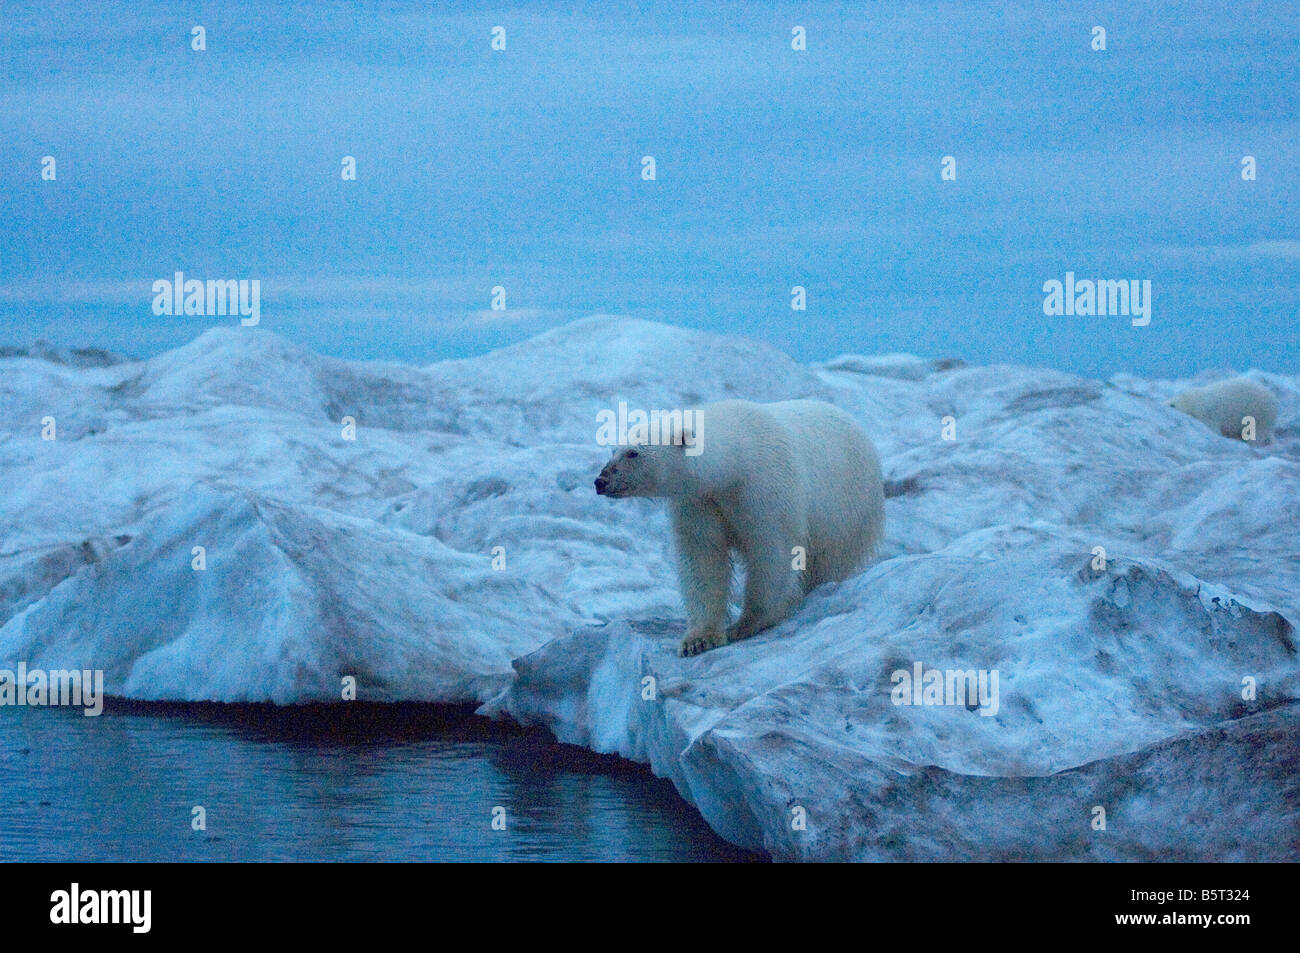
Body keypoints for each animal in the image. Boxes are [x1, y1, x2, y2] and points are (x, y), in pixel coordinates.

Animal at [594, 399, 884, 656]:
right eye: (613, 450)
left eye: (633, 453)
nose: (600, 481)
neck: (737, 458)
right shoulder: (699, 500)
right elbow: (703, 557)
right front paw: (699, 639)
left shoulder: (766, 488)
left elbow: (772, 552)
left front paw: (746, 625)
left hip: (846, 508)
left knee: (828, 561)